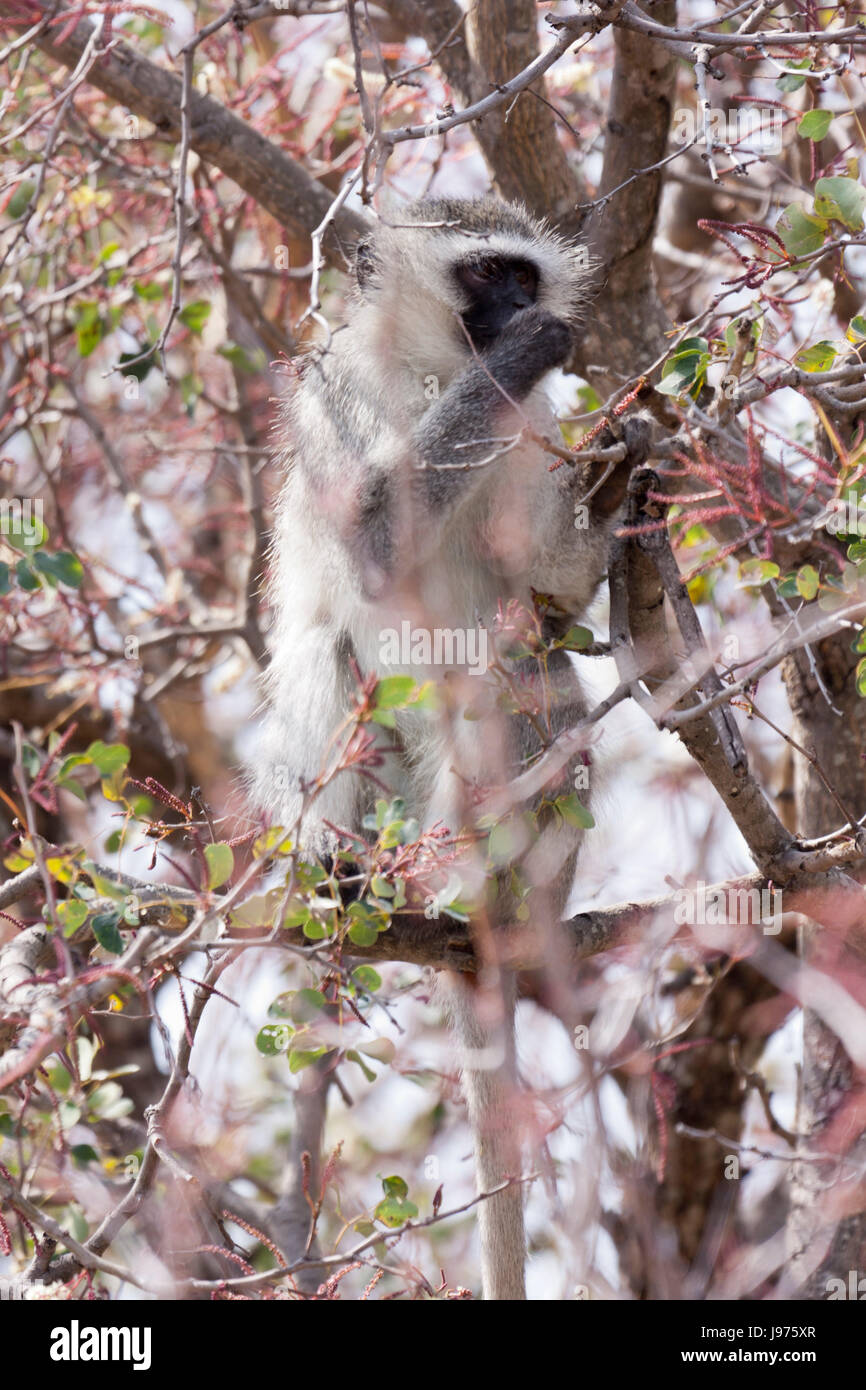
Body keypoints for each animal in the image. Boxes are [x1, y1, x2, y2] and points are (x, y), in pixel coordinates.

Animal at [253, 196, 631, 1300]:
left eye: (523, 272)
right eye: (487, 275)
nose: (517, 310)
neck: (426, 371)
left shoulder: (537, 434)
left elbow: (548, 593)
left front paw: (627, 469)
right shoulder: (327, 397)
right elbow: (374, 539)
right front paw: (530, 351)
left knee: (522, 673)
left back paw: (471, 888)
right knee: (326, 647)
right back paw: (343, 875)